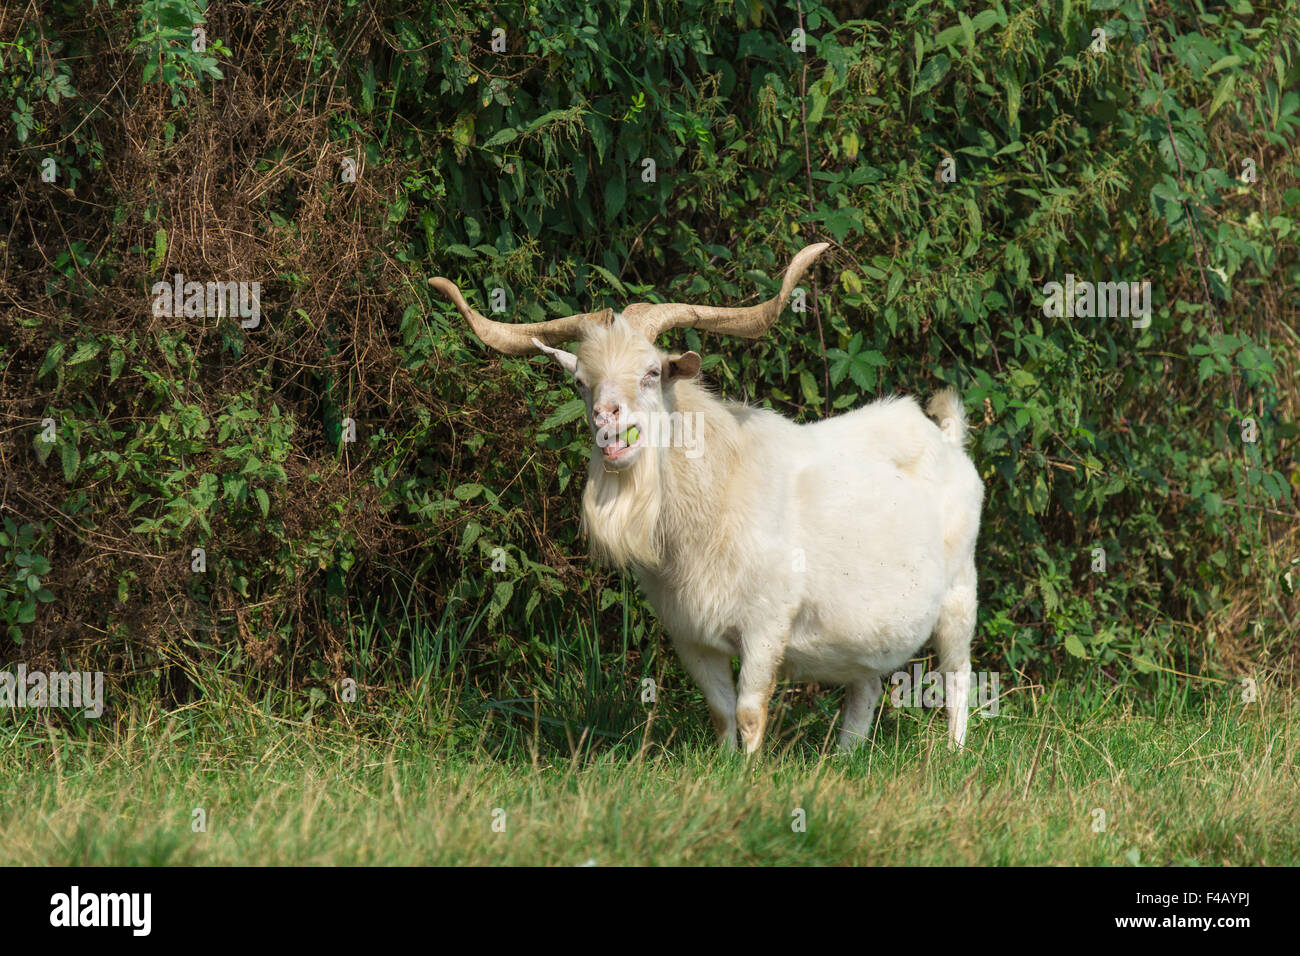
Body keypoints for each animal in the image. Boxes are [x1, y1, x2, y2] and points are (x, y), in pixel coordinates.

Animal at [430, 244, 984, 754]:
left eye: (652, 373)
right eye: (581, 382)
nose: (609, 423)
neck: (719, 491)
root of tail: (946, 438)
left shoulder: (766, 625)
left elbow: (750, 711)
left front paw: (750, 775)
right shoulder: (690, 636)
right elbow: (721, 711)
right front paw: (723, 768)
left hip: (959, 593)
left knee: (958, 677)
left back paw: (954, 756)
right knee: (865, 688)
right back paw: (846, 759)